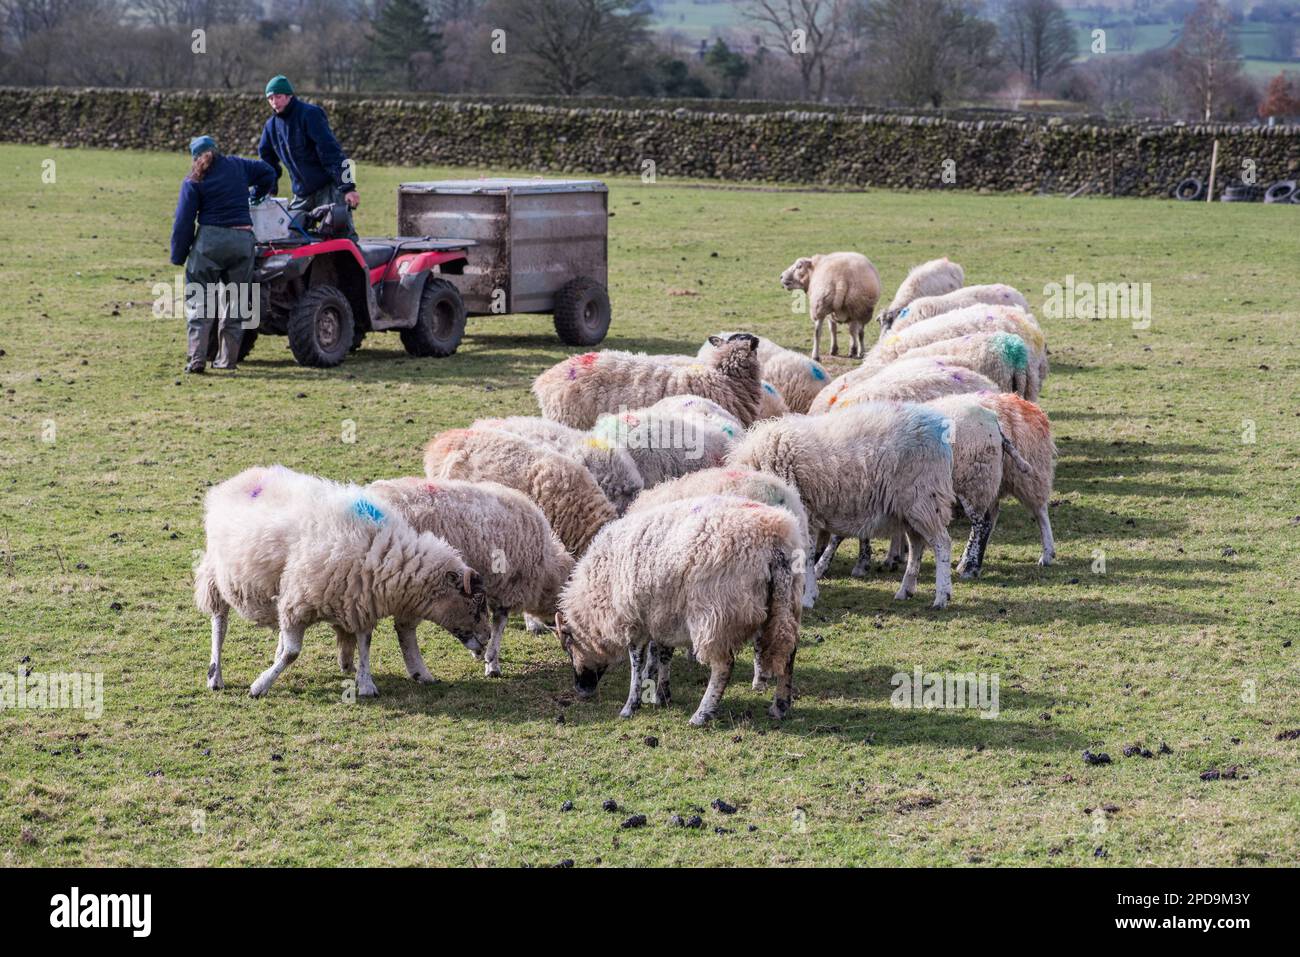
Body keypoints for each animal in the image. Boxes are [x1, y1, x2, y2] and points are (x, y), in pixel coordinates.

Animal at [195, 465, 490, 698]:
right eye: (474, 603)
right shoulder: (298, 603)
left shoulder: (359, 602)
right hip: (215, 576)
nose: (487, 638)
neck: (381, 553)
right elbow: (293, 653)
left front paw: (366, 683)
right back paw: (215, 675)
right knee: (219, 623)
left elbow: (364, 643)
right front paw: (260, 685)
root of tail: (240, 478)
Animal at [366, 477, 574, 677]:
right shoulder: (508, 587)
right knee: (403, 627)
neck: (546, 569)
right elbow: (499, 625)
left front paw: (479, 652)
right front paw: (491, 663)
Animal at [555, 495, 804, 726]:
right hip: (783, 605)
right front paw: (662, 695)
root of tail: (774, 541)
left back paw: (702, 714)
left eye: (569, 647)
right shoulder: (662, 614)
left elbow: (637, 662)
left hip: (716, 613)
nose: (581, 690)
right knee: (789, 652)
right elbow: (664, 653)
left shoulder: (633, 619)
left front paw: (630, 706)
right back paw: (780, 706)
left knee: (724, 665)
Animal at [727, 404, 956, 608]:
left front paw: (808, 597)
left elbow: (806, 556)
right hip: (908, 510)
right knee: (917, 545)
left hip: (925, 500)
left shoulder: (806, 514)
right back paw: (905, 590)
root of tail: (938, 426)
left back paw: (941, 597)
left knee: (942, 544)